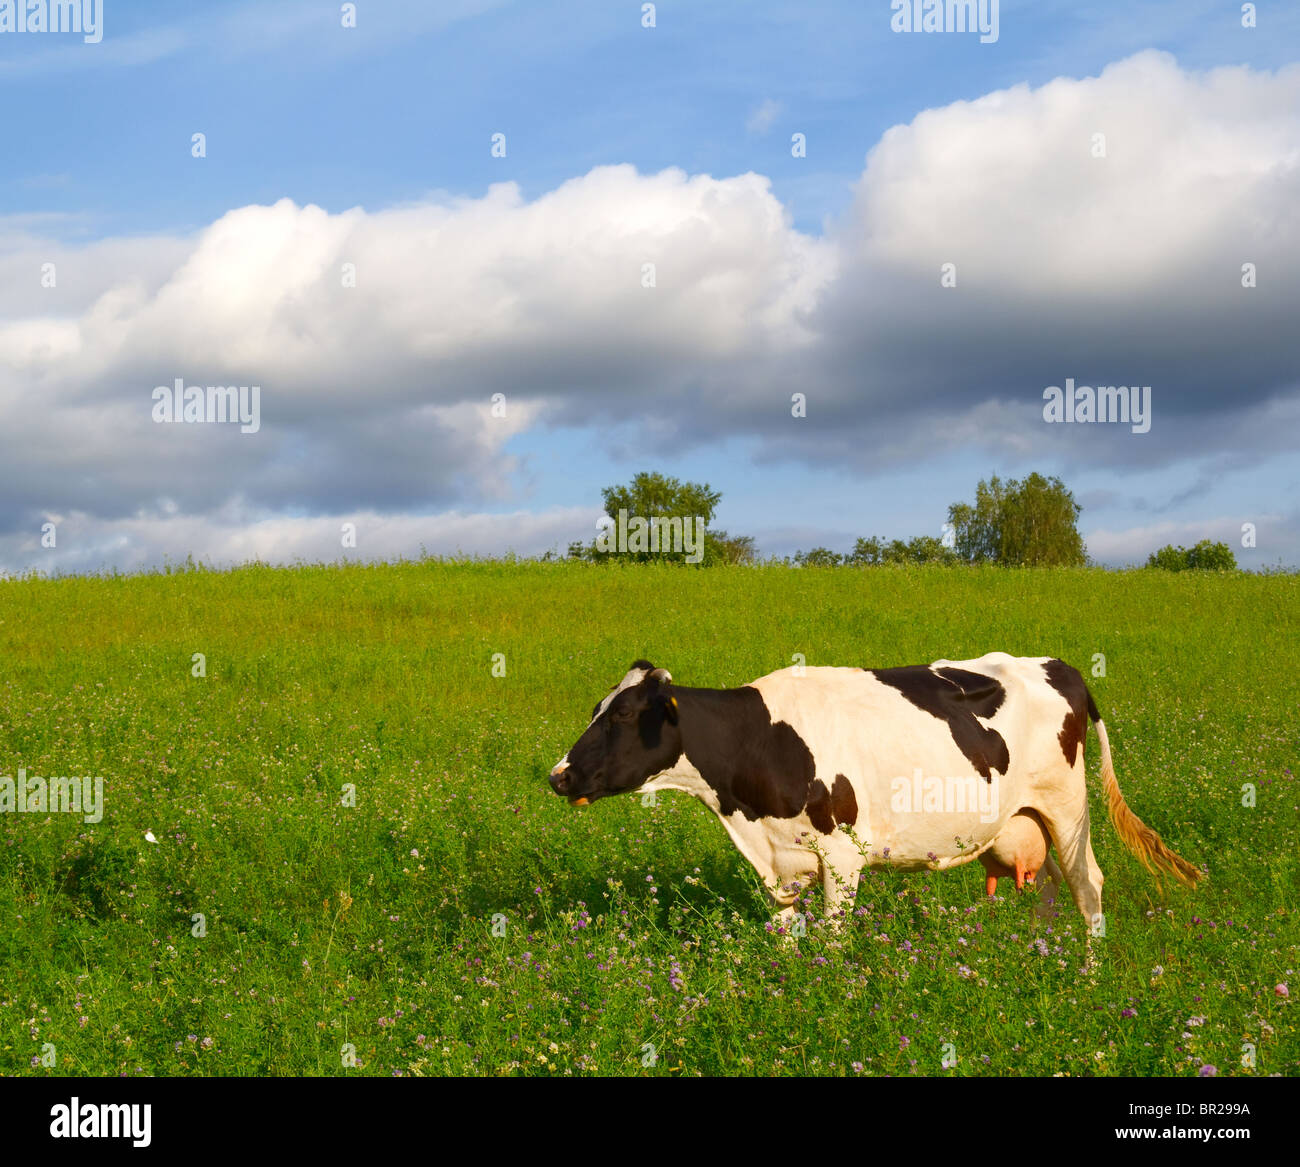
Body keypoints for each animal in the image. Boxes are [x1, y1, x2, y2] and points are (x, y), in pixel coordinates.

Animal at [548, 654, 1201, 929]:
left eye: (622, 716)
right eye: (595, 708)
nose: (558, 775)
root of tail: (1059, 664)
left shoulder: (841, 860)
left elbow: (833, 943)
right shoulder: (782, 864)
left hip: (1067, 808)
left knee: (1088, 887)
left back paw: (1084, 978)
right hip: (1030, 817)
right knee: (1050, 889)